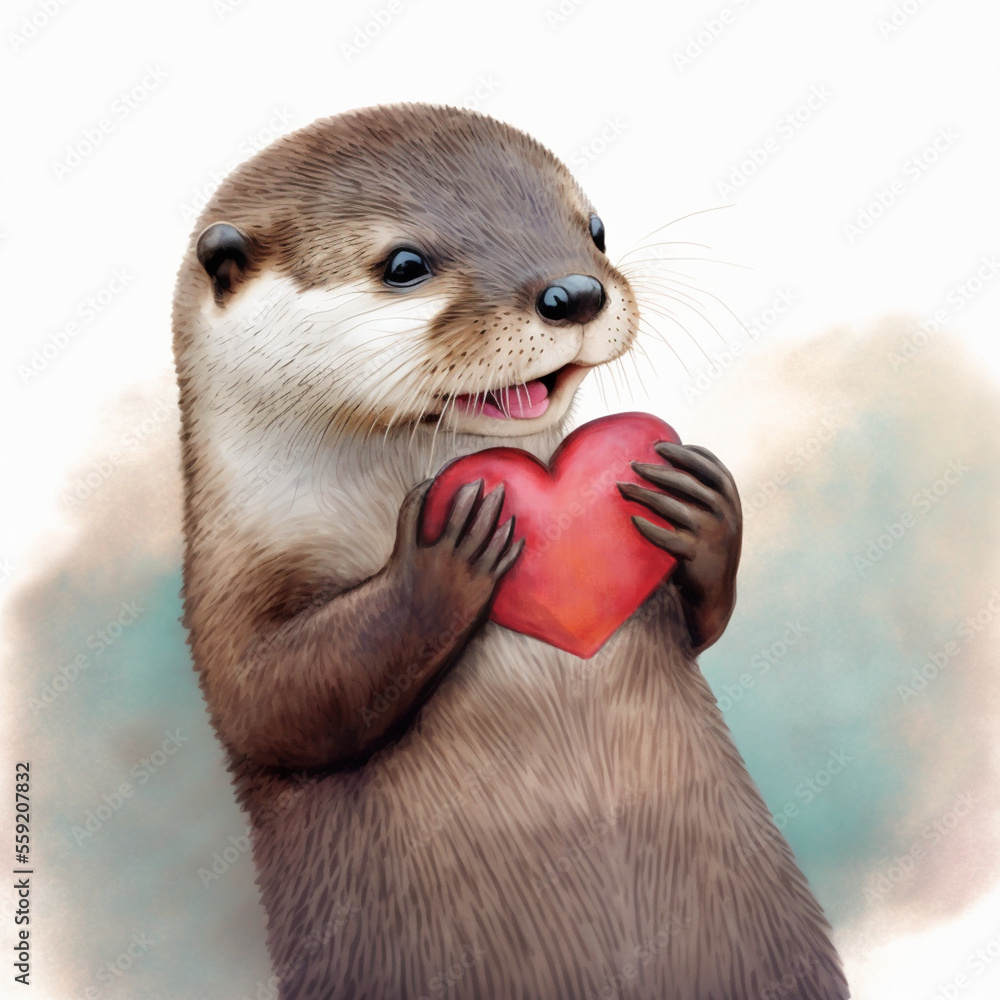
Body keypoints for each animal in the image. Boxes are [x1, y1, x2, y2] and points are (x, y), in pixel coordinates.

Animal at [171, 103, 849, 999]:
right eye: (405, 264)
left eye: (594, 227)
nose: (576, 291)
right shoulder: (226, 589)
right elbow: (274, 703)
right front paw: (445, 549)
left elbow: (696, 624)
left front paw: (700, 504)